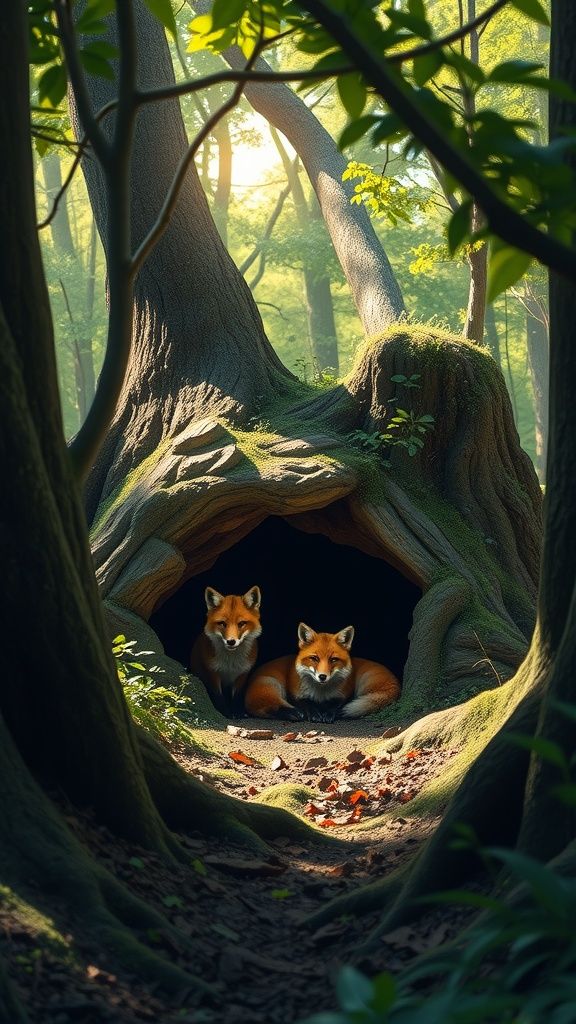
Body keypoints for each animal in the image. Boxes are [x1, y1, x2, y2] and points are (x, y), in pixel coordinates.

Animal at [190, 586, 261, 716]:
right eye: (222, 623)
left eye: (241, 623)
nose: (231, 641)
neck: (230, 663)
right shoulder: (212, 672)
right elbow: (218, 696)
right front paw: (224, 713)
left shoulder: (243, 673)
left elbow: (237, 696)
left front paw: (237, 713)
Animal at [244, 622, 400, 722]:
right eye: (314, 658)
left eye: (333, 659)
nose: (322, 676)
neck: (320, 694)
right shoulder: (295, 694)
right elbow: (307, 704)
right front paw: (315, 714)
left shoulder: (345, 694)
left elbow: (336, 704)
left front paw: (328, 714)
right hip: (271, 684)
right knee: (268, 707)